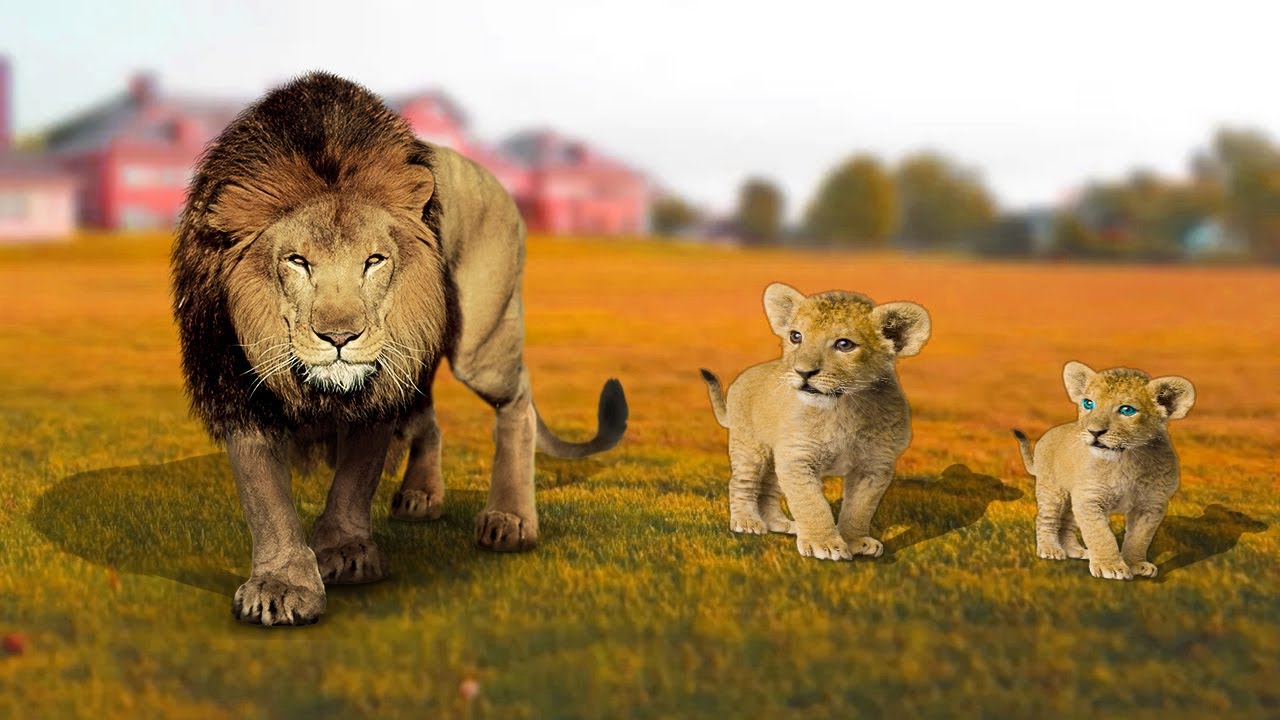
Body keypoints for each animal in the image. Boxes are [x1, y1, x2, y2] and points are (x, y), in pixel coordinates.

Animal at [171, 72, 628, 626]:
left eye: (374, 261)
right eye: (297, 261)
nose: (340, 338)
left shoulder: (379, 385)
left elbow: (355, 477)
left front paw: (345, 551)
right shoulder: (236, 385)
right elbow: (266, 499)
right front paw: (282, 585)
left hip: (479, 348)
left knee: (517, 399)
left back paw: (509, 519)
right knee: (428, 418)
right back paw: (419, 496)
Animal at [700, 283, 930, 561]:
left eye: (844, 344)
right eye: (796, 336)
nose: (803, 372)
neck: (843, 409)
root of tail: (742, 376)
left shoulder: (875, 465)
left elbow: (860, 508)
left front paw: (855, 541)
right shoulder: (798, 457)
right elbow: (811, 504)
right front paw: (826, 544)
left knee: (769, 488)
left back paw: (781, 524)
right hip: (750, 447)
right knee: (741, 482)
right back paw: (747, 522)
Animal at [1012, 361, 1194, 580]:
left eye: (1127, 410)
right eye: (1088, 403)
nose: (1094, 431)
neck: (1126, 460)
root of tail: (1046, 434)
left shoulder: (1152, 505)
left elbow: (1139, 538)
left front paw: (1135, 564)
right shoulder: (1090, 499)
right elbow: (1100, 535)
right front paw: (1111, 567)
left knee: (1067, 523)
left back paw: (1076, 551)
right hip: (1052, 490)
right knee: (1045, 518)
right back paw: (1050, 550)